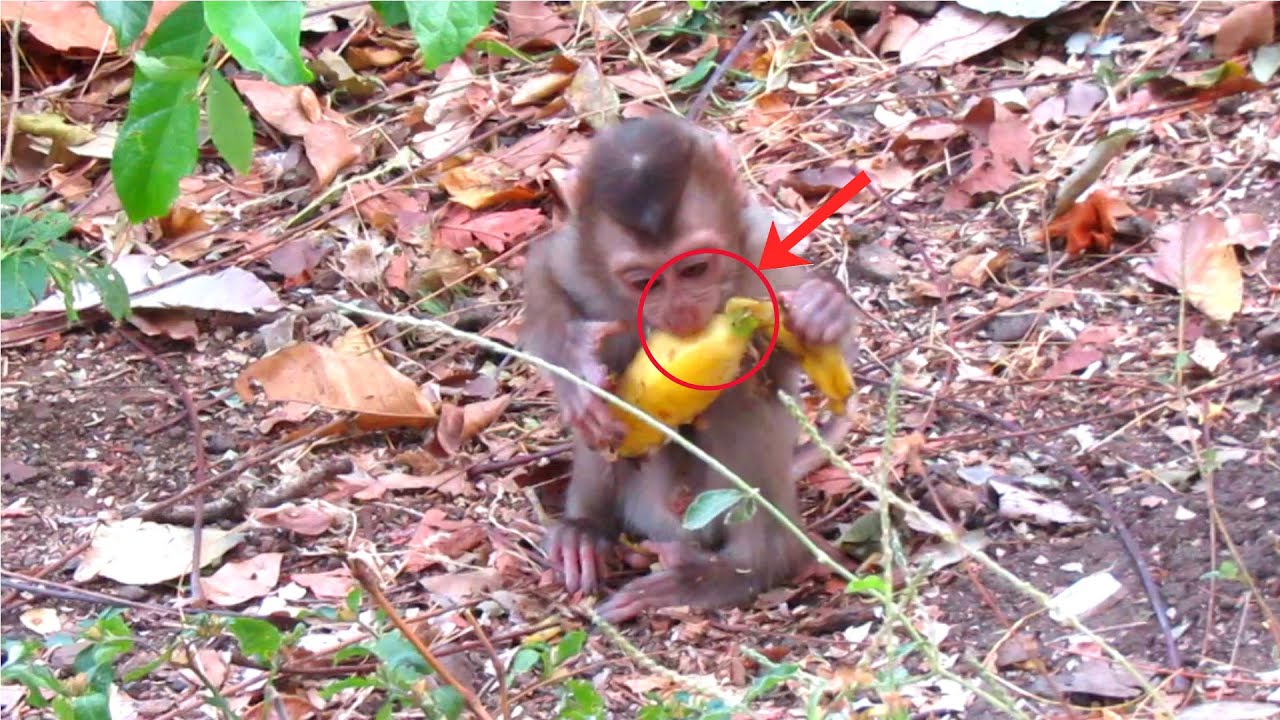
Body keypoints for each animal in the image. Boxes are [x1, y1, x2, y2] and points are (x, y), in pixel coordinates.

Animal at [520, 115, 855, 623]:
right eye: (644, 281)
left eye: (694, 269)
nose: (680, 312)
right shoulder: (579, 257)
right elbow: (543, 273)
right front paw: (574, 361)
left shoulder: (763, 255)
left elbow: (777, 371)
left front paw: (824, 310)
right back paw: (586, 529)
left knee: (740, 404)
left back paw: (742, 568)